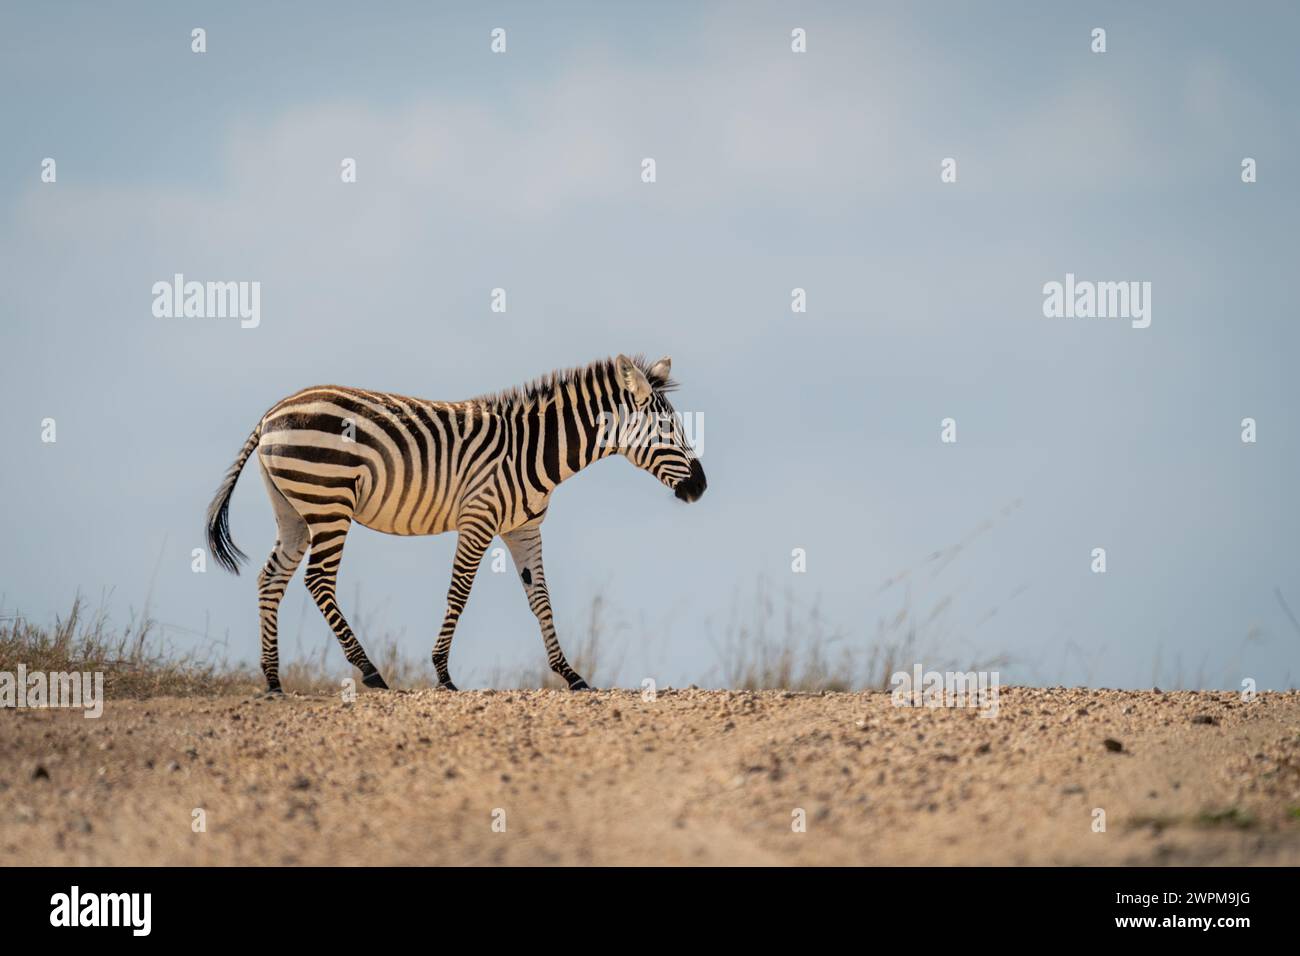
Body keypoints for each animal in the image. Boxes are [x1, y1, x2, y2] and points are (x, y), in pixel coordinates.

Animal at [205, 354, 706, 694]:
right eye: (667, 428)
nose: (700, 487)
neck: (533, 453)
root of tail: (271, 413)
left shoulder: (524, 529)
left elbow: (541, 599)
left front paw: (571, 675)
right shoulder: (478, 518)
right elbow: (459, 592)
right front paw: (443, 672)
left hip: (294, 510)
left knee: (271, 578)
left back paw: (273, 680)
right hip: (329, 501)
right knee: (318, 580)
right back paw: (370, 671)